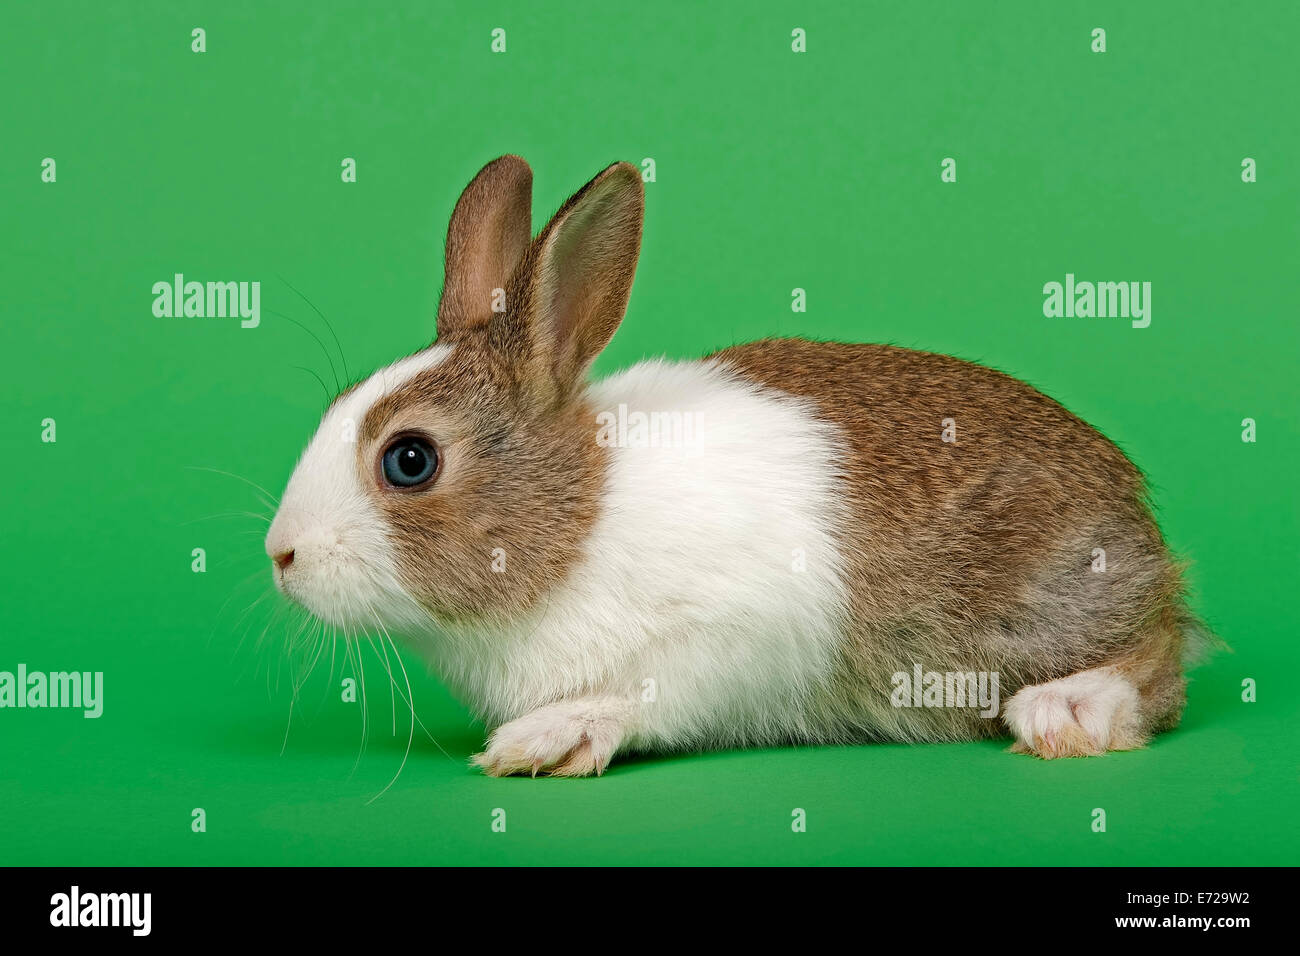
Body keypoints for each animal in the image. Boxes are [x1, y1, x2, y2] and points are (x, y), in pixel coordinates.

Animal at [265, 155, 1213, 776]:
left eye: (410, 460)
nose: (282, 555)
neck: (576, 517)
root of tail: (1141, 526)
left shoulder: (731, 633)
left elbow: (652, 695)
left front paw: (549, 737)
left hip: (1038, 602)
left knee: (1158, 663)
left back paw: (1068, 712)